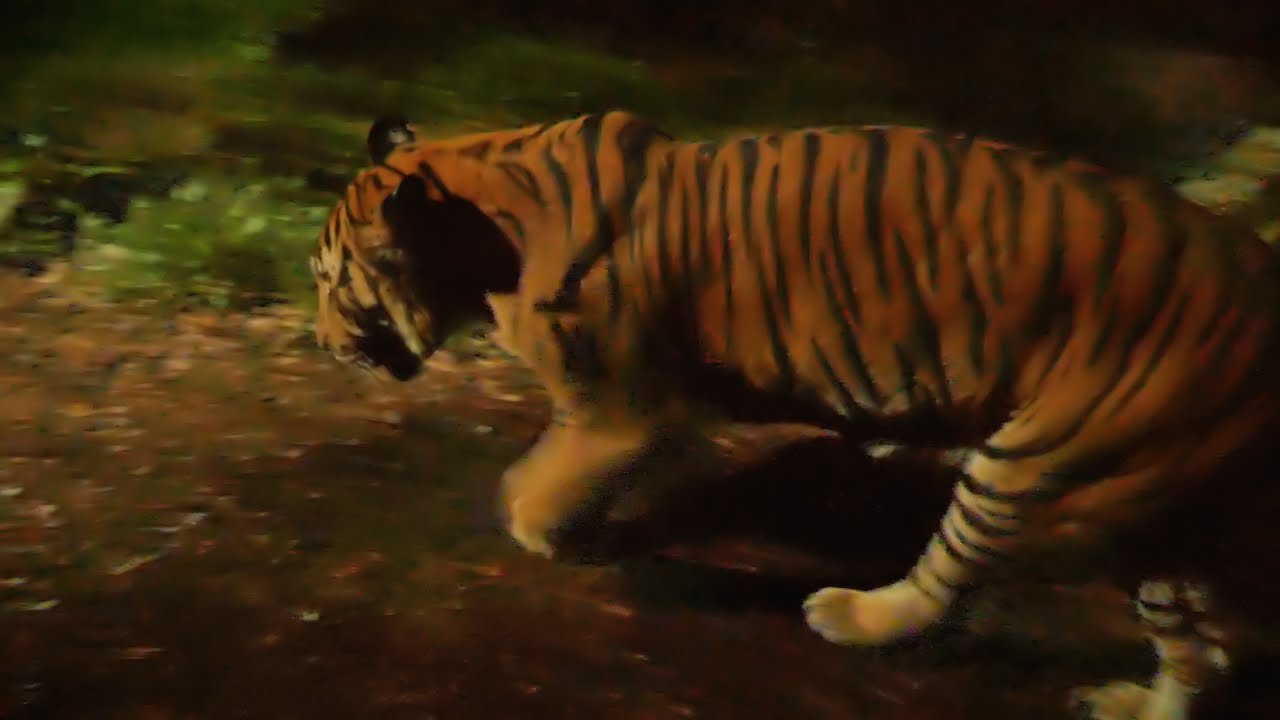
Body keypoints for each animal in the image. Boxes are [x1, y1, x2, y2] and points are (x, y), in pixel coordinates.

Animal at [310, 110, 1280, 720]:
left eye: (329, 281)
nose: (320, 342)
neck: (481, 221)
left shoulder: (624, 410)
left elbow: (543, 485)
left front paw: (546, 533)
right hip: (1152, 498)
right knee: (1205, 644)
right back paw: (1133, 704)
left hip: (1032, 465)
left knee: (949, 581)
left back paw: (849, 615)